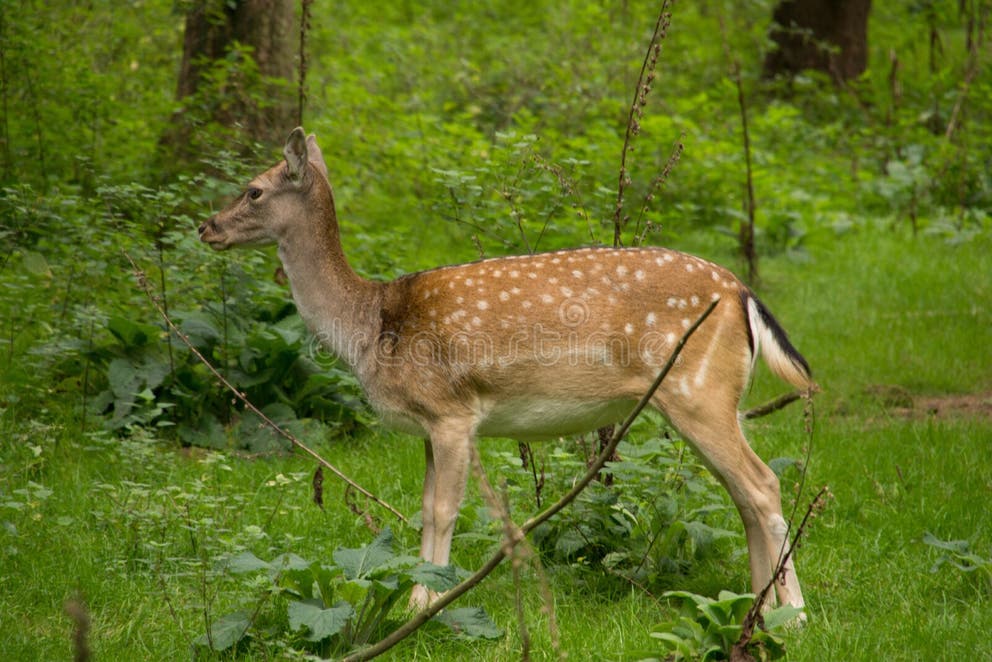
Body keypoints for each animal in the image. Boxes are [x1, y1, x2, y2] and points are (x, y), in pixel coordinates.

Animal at [198, 127, 814, 614]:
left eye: (253, 189)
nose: (207, 228)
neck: (371, 326)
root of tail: (742, 293)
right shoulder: (430, 425)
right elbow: (424, 509)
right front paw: (422, 596)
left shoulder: (451, 411)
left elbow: (444, 511)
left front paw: (425, 604)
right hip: (713, 398)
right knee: (743, 493)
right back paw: (757, 607)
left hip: (697, 391)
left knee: (763, 484)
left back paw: (795, 616)